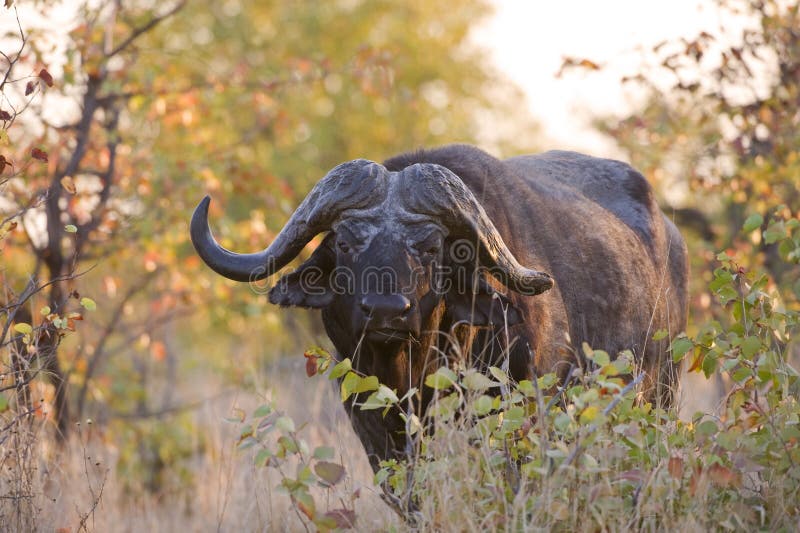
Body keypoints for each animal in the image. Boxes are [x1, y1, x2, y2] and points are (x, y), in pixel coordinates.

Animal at [191, 144, 688, 471]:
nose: (386, 310)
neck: (412, 371)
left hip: (662, 394)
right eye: (346, 244)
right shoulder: (372, 431)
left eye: (431, 248)